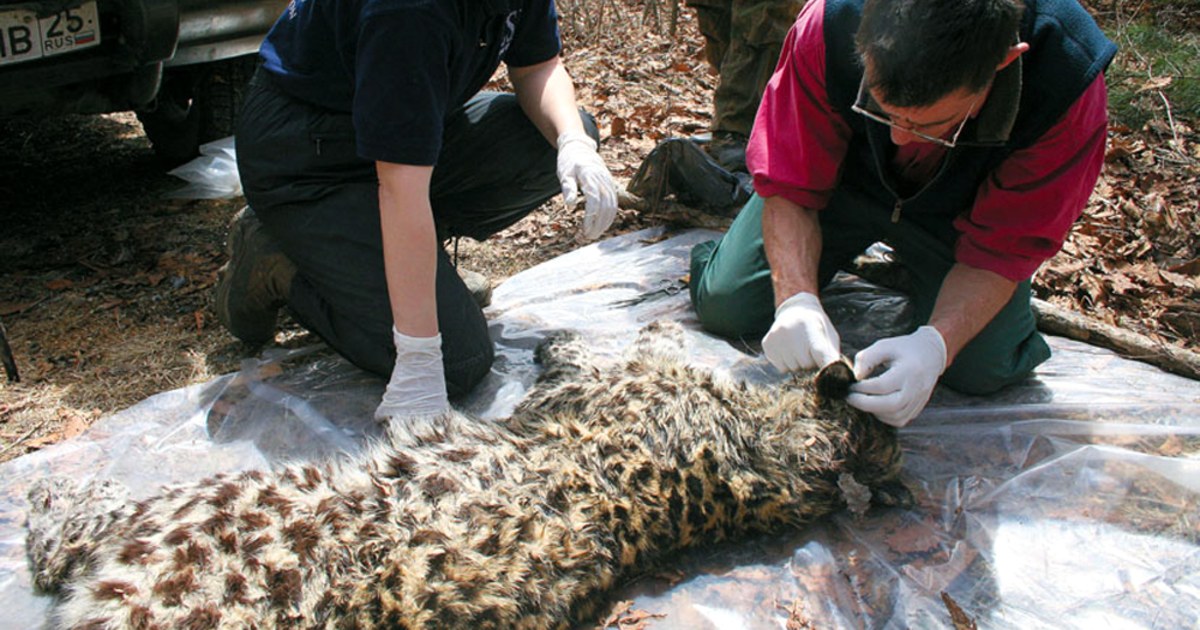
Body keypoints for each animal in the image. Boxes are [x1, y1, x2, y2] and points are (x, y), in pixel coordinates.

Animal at [25, 320, 908, 629]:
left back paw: (54, 490)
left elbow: (609, 354)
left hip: (194, 507)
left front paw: (586, 339)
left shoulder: (579, 396)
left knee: (58, 548)